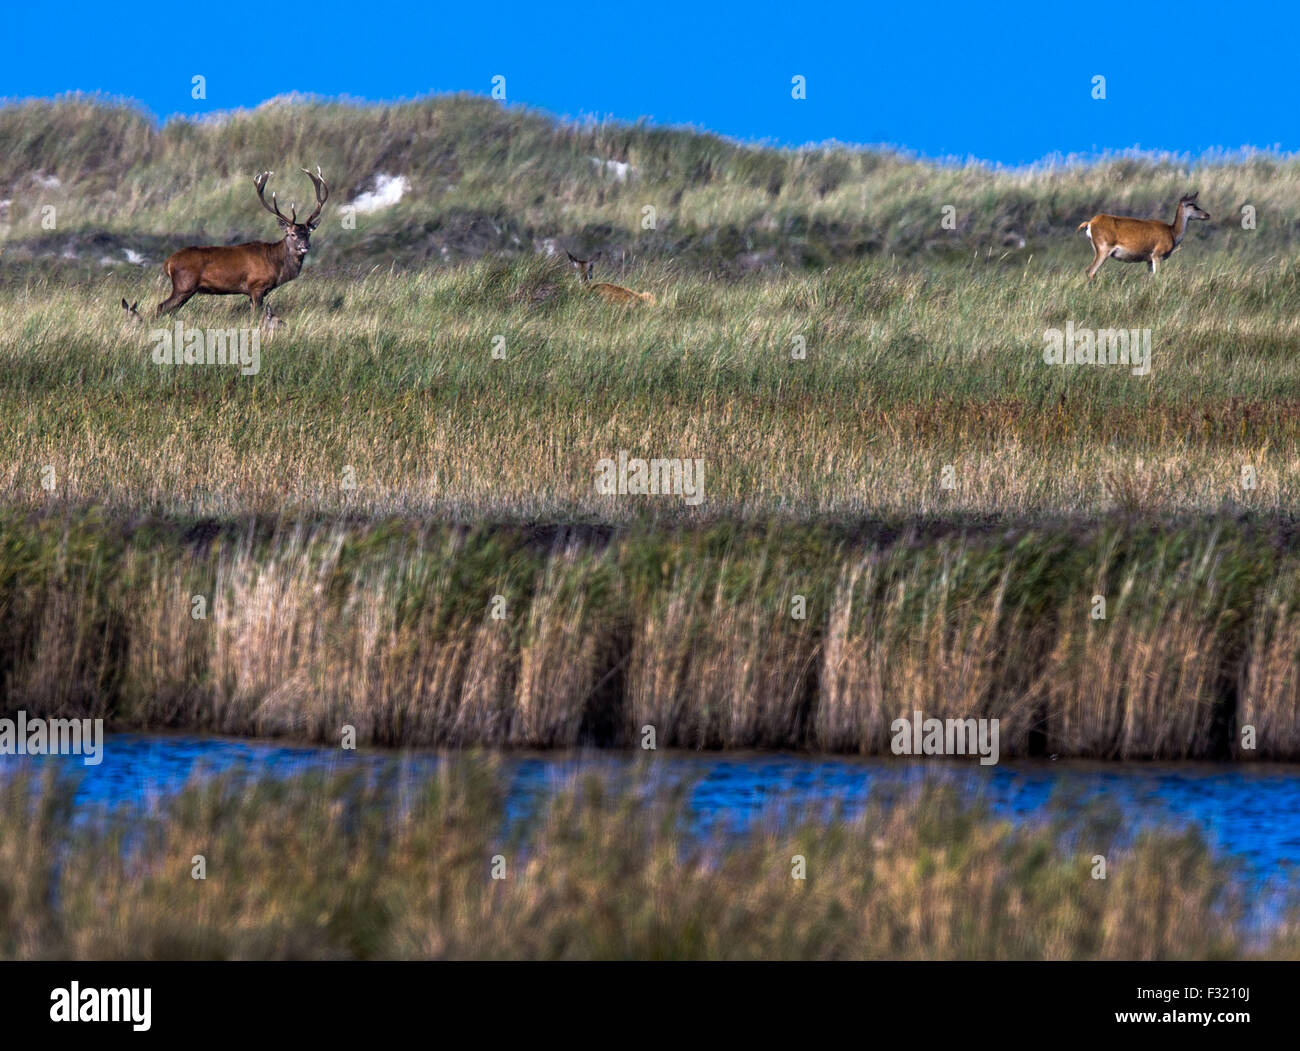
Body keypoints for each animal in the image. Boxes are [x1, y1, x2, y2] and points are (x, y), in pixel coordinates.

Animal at [155, 168, 329, 320]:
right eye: (292, 234)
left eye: (308, 233)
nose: (305, 245)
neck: (276, 263)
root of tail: (168, 262)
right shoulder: (257, 285)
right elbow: (256, 315)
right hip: (184, 285)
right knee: (161, 306)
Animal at [1078, 192, 1210, 280]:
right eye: (1192, 204)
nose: (1207, 215)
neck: (1172, 232)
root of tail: (1090, 223)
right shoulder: (1157, 255)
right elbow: (1157, 276)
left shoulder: (1149, 261)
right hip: (1103, 251)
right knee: (1090, 271)